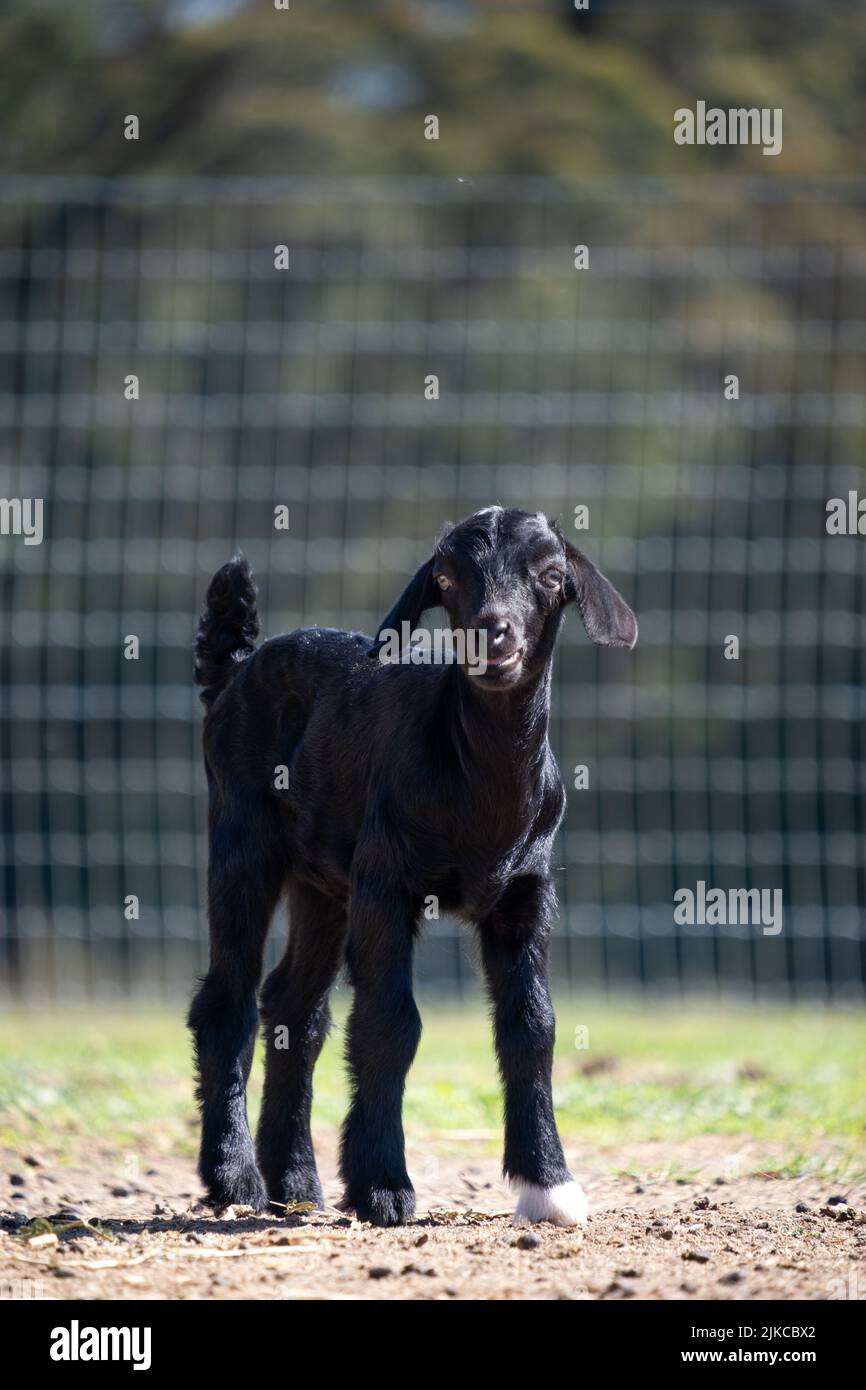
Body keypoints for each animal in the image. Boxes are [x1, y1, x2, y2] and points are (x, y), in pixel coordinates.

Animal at [188, 506, 637, 1226]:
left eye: (549, 575)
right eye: (448, 579)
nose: (492, 633)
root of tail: (234, 671)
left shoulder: (525, 894)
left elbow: (532, 1026)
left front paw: (548, 1182)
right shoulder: (386, 882)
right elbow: (391, 1024)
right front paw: (382, 1186)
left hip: (322, 882)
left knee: (293, 1008)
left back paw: (295, 1183)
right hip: (242, 837)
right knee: (226, 1000)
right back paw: (235, 1179)